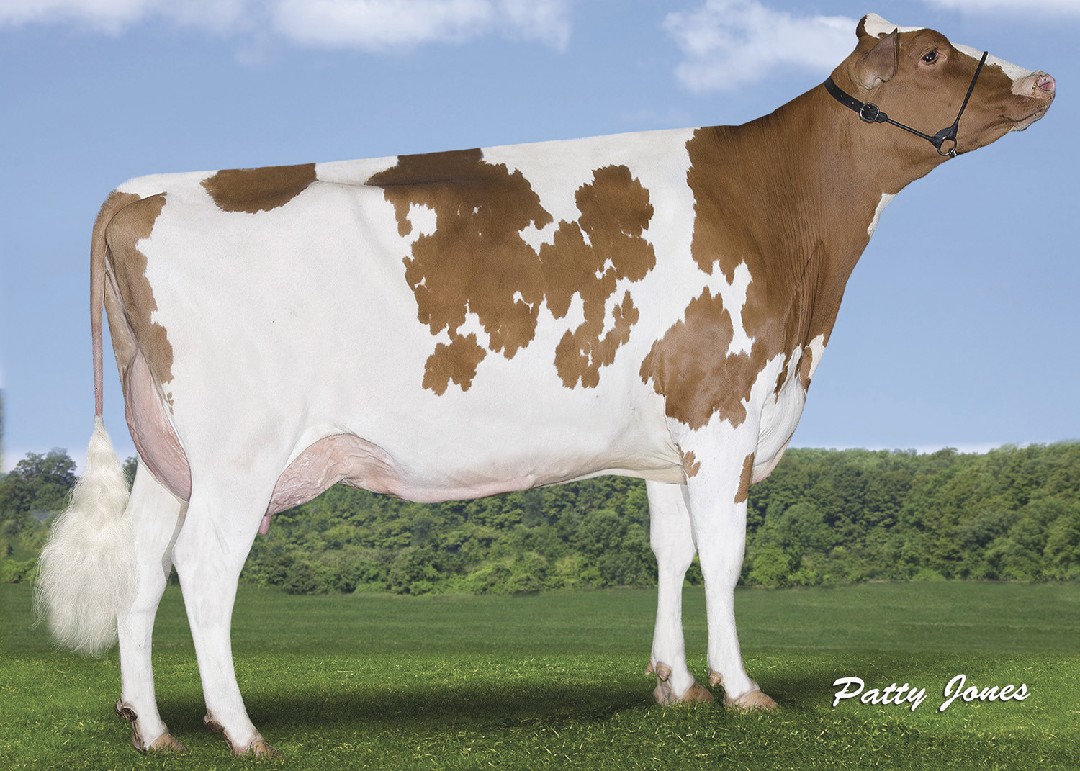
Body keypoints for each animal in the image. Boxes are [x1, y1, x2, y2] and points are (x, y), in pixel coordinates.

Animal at [36, 13, 1054, 757]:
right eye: (933, 52)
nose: (1044, 81)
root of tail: (139, 189)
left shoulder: (668, 440)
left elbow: (672, 551)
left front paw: (676, 684)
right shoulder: (723, 411)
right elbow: (725, 556)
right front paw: (742, 689)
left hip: (171, 455)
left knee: (142, 566)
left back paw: (152, 726)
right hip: (239, 454)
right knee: (205, 569)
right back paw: (240, 729)